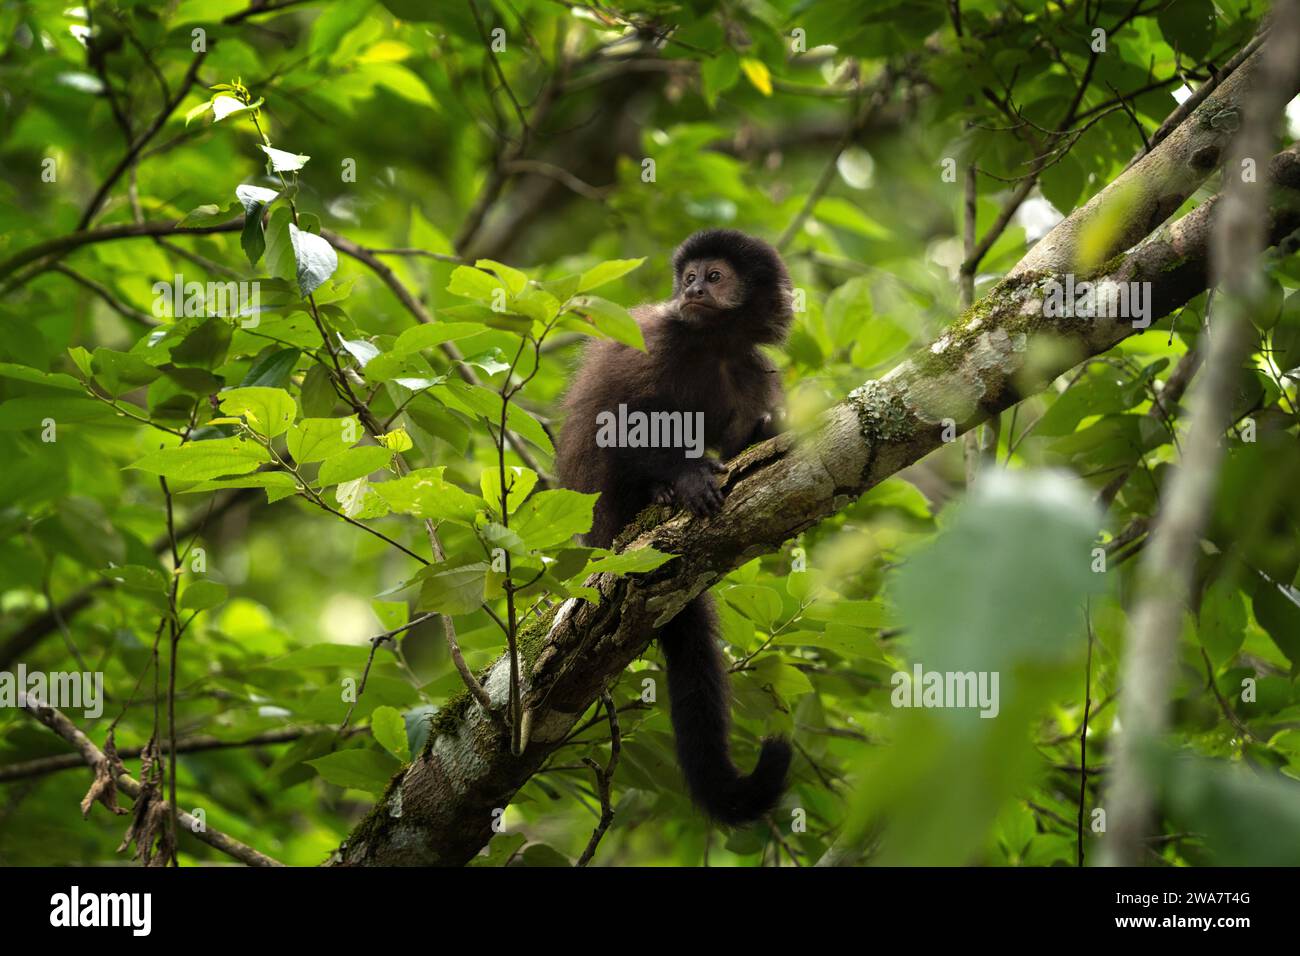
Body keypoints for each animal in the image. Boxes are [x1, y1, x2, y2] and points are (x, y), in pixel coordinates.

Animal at [555, 228, 793, 825]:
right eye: (689, 277)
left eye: (714, 276)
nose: (692, 290)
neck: (714, 344)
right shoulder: (659, 339)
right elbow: (617, 423)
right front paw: (683, 479)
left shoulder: (750, 370)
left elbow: (743, 437)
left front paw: (764, 434)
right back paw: (660, 494)